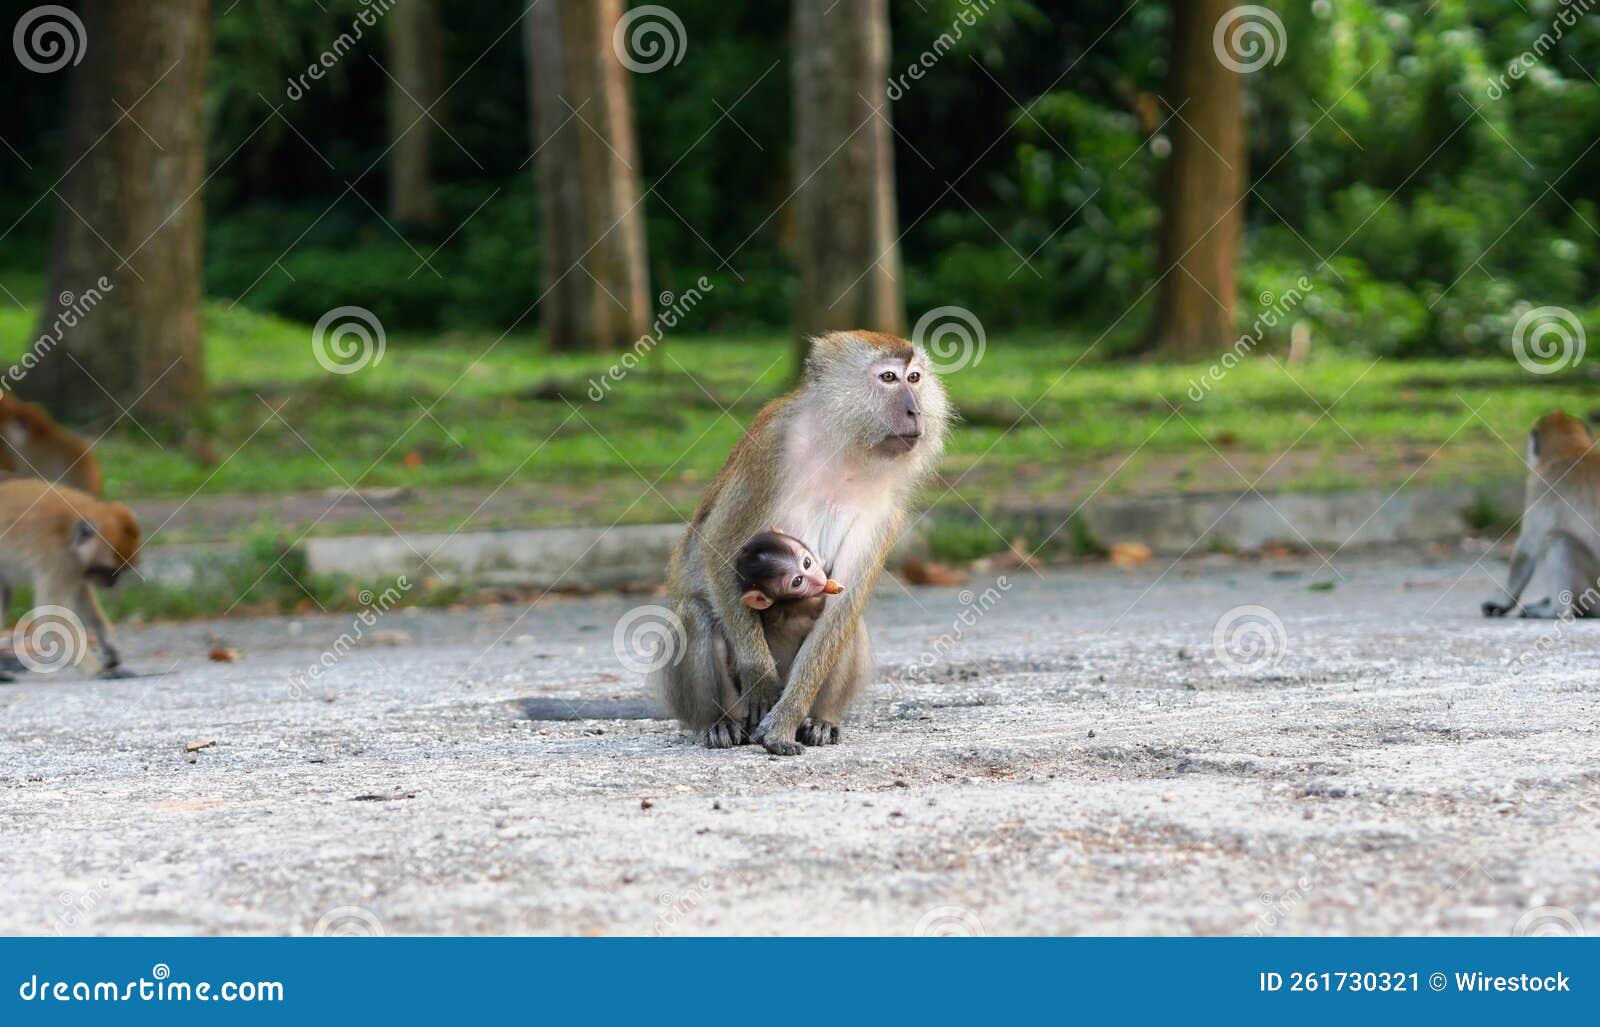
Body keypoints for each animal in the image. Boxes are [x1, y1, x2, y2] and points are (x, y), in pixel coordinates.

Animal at [0, 478, 140, 677]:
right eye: (107, 570)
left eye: (121, 571)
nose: (112, 583)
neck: (67, 530)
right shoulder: (59, 559)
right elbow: (52, 617)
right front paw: (97, 670)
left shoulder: (76, 566)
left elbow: (81, 595)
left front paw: (110, 645)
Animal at [649, 330, 950, 754]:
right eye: (889, 378)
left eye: (916, 378)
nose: (915, 411)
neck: (844, 449)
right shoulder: (769, 446)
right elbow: (718, 546)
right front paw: (760, 679)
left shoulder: (889, 504)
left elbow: (841, 607)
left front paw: (786, 720)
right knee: (695, 612)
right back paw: (718, 723)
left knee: (847, 624)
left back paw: (820, 720)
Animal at [1483, 410, 1600, 620]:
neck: (1571, 451)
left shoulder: (1540, 487)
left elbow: (1527, 551)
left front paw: (1503, 601)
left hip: (1594, 593)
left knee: (1558, 540)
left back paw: (1555, 610)